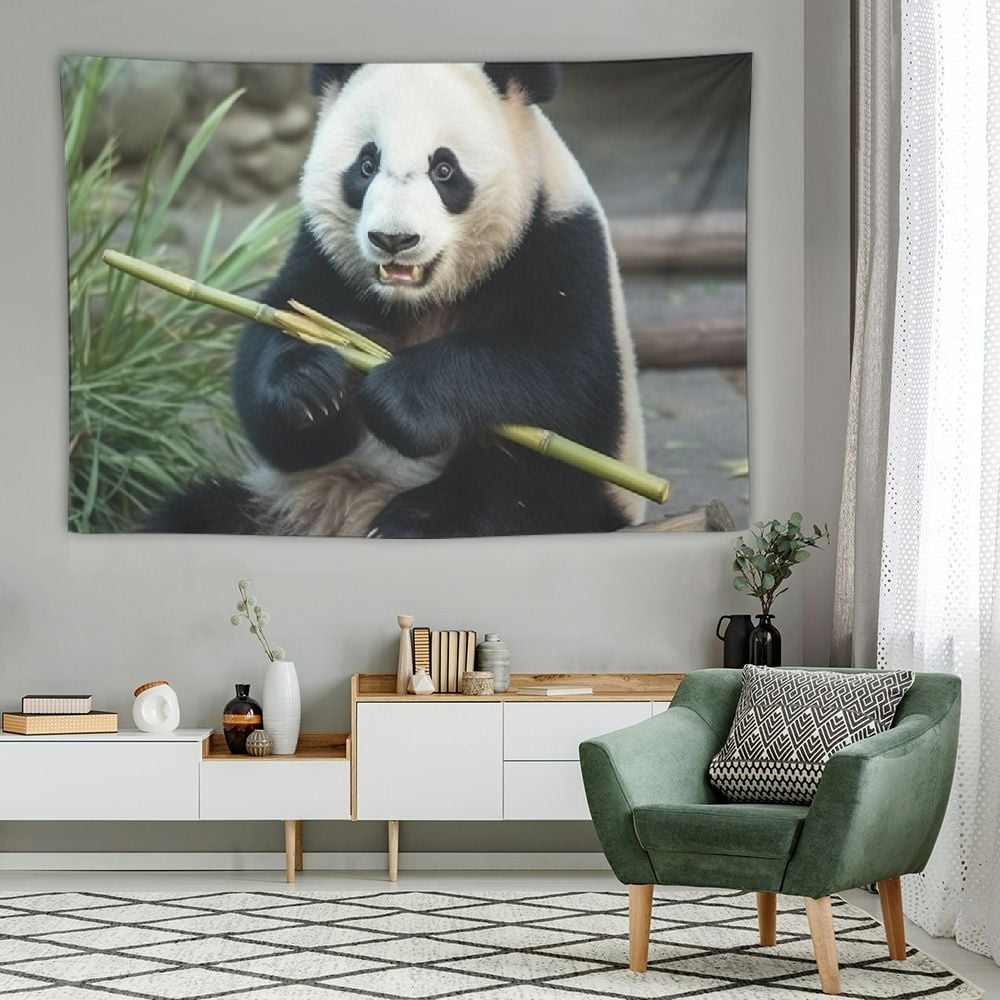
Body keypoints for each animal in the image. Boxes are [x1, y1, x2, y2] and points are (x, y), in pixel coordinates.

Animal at [147, 62, 646, 538]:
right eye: (367, 164)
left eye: (444, 169)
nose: (393, 239)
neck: (420, 299)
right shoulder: (323, 256)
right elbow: (275, 371)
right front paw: (317, 379)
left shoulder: (560, 245)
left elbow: (564, 378)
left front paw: (401, 397)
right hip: (273, 503)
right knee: (196, 515)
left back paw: (414, 522)